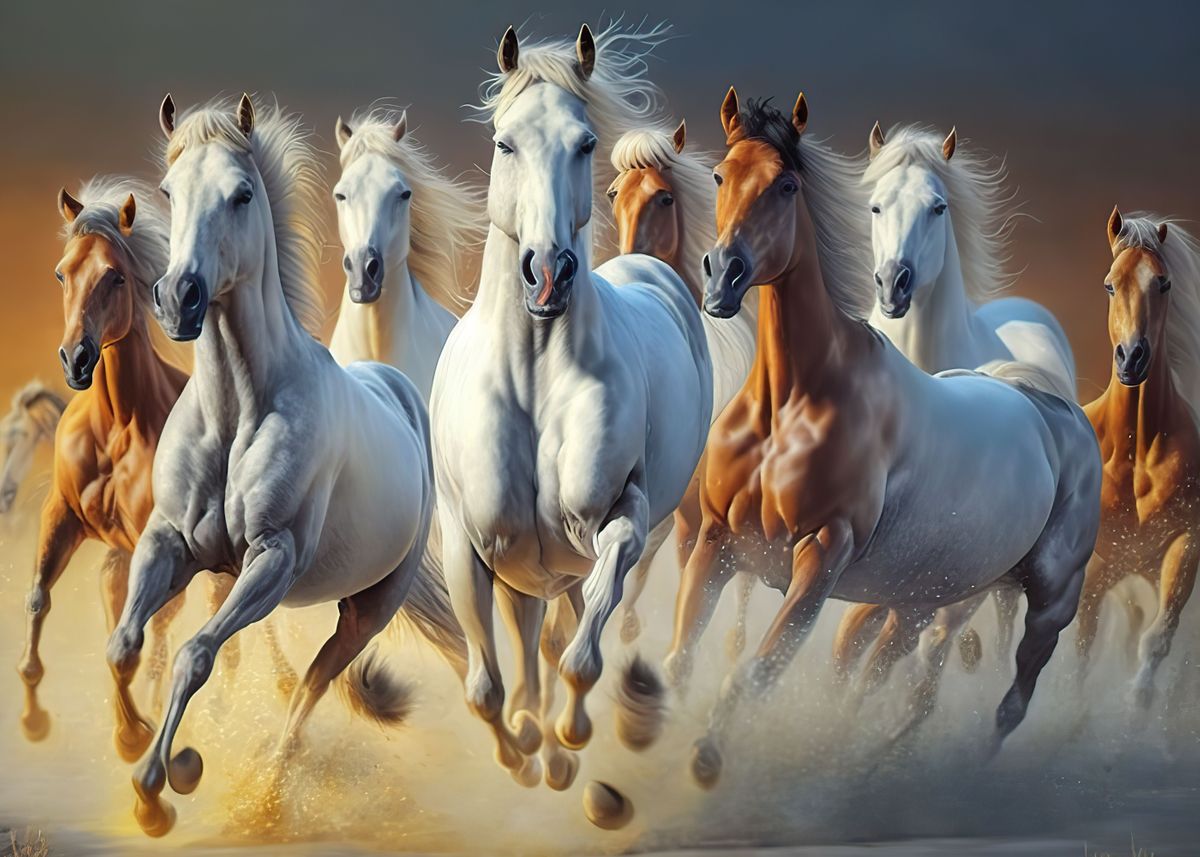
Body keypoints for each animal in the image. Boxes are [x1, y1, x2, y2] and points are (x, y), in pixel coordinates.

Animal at [15, 178, 217, 759]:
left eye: (116, 276)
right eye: (62, 273)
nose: (76, 359)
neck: (116, 426)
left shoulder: (154, 546)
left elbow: (129, 647)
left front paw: (133, 738)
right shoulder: (63, 516)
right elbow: (38, 599)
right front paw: (33, 718)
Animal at [103, 94, 465, 837]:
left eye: (241, 195)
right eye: (168, 192)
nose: (178, 297)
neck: (238, 409)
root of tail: (397, 388)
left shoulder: (271, 560)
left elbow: (194, 656)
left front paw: (159, 786)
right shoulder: (168, 543)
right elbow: (124, 644)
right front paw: (134, 741)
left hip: (367, 610)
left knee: (309, 692)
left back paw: (266, 798)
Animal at [430, 24, 711, 816]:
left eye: (584, 143)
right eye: (504, 143)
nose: (548, 272)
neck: (532, 381)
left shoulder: (620, 518)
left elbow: (584, 650)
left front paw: (566, 742)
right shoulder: (469, 542)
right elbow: (486, 686)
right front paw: (523, 753)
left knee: (566, 632)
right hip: (528, 568)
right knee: (532, 644)